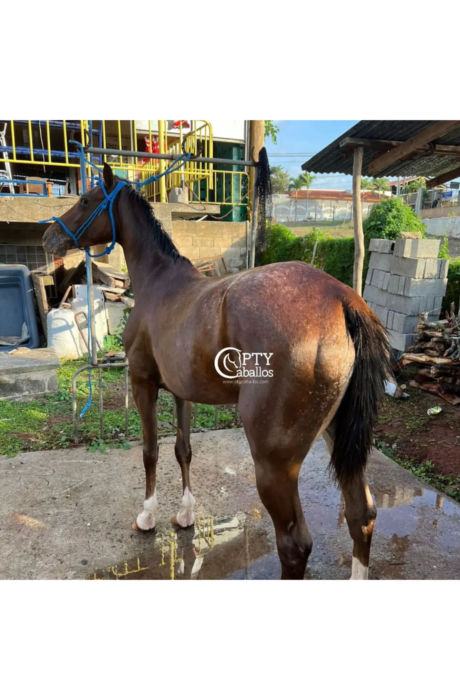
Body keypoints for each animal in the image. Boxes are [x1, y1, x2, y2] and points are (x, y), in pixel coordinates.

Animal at [43, 163, 390, 580]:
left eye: (84, 199)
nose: (49, 236)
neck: (159, 282)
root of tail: (341, 298)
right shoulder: (181, 393)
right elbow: (183, 451)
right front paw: (185, 515)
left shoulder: (143, 384)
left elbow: (150, 451)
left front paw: (147, 517)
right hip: (338, 436)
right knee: (361, 514)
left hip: (275, 466)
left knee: (295, 545)